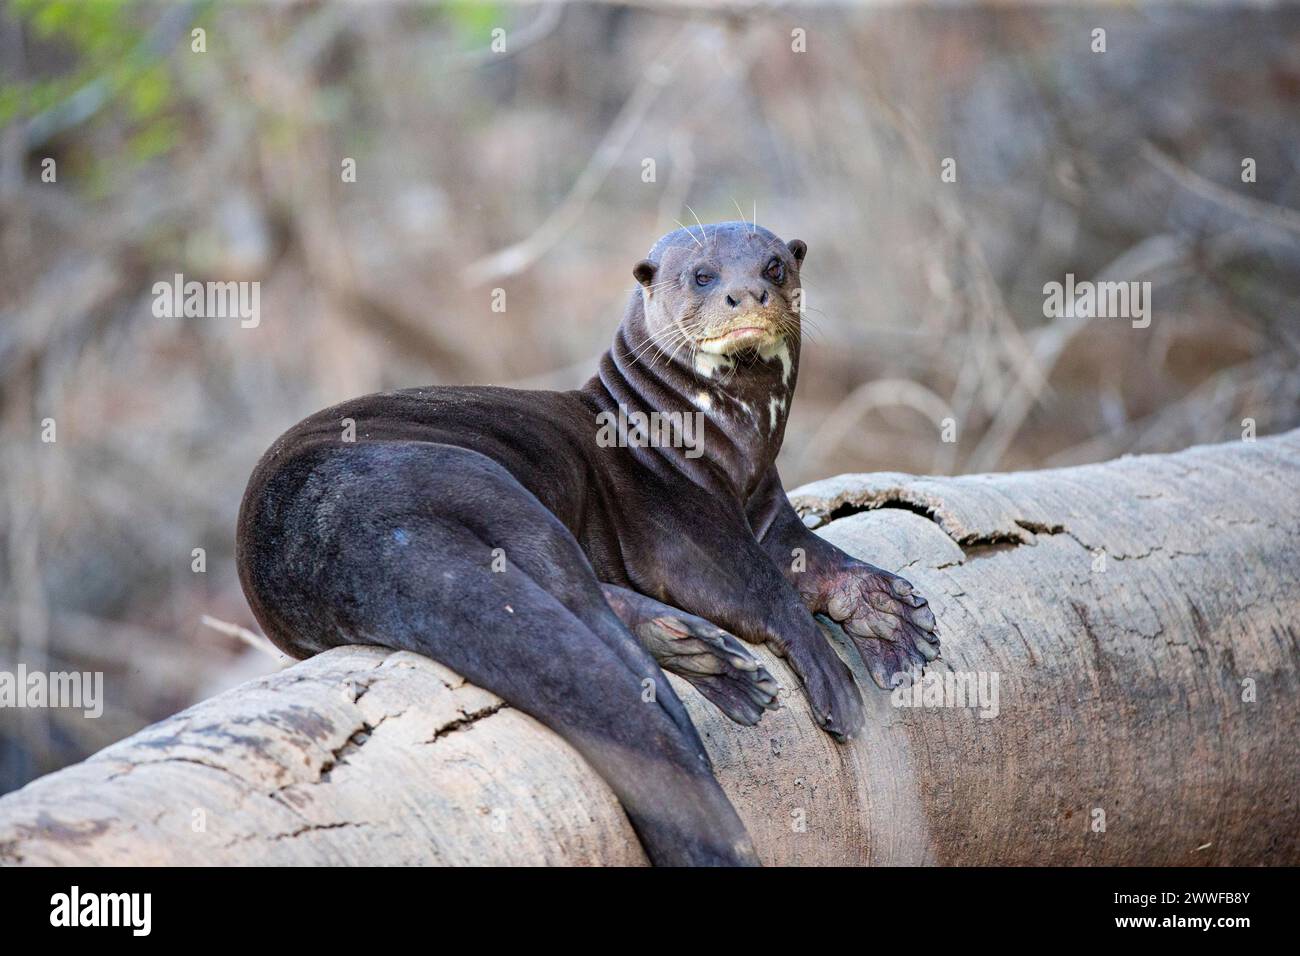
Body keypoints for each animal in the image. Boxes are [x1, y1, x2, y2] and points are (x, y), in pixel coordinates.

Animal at [235, 221, 939, 866]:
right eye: (703, 276)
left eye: (774, 266)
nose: (747, 294)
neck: (719, 444)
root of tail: (322, 539)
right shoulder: (681, 523)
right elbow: (758, 587)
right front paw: (830, 672)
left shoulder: (767, 508)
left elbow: (820, 559)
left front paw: (885, 610)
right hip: (481, 483)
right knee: (586, 606)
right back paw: (708, 668)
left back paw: (702, 654)